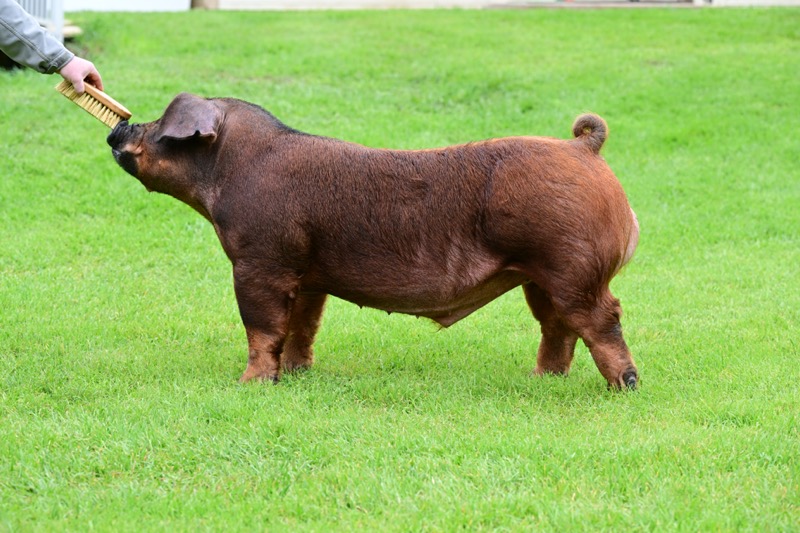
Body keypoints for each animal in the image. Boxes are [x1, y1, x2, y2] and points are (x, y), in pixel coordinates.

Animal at [107, 93, 640, 389]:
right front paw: (297, 375)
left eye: (159, 126)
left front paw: (250, 384)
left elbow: (262, 327)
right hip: (539, 275)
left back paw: (625, 385)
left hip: (572, 265)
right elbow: (302, 327)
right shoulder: (308, 275)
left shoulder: (260, 261)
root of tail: (583, 146)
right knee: (558, 327)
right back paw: (541, 379)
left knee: (603, 317)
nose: (118, 128)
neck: (233, 171)